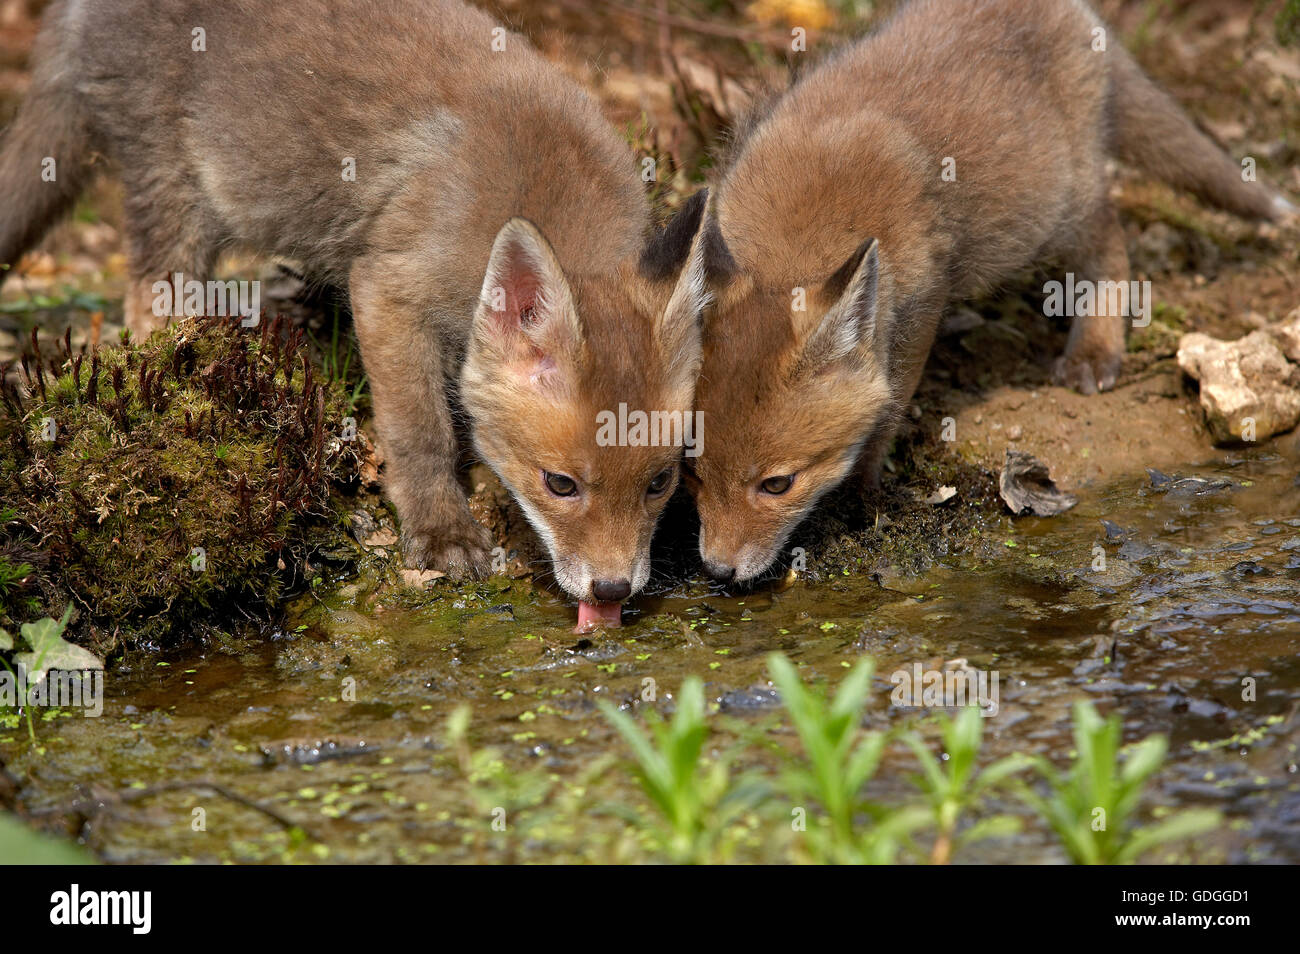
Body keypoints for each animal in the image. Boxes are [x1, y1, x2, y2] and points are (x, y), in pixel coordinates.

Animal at [0, 0, 710, 626]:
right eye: (560, 484)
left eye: (659, 482)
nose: (613, 590)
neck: (544, 198)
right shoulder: (388, 288)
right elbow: (421, 431)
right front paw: (441, 531)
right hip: (176, 194)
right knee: (150, 304)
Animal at [674, 0, 1297, 585]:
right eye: (693, 472)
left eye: (778, 483)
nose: (718, 573)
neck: (803, 229)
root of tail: (1079, 14)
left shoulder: (921, 302)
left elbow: (888, 409)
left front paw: (862, 494)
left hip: (1054, 206)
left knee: (1112, 242)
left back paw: (1095, 350)